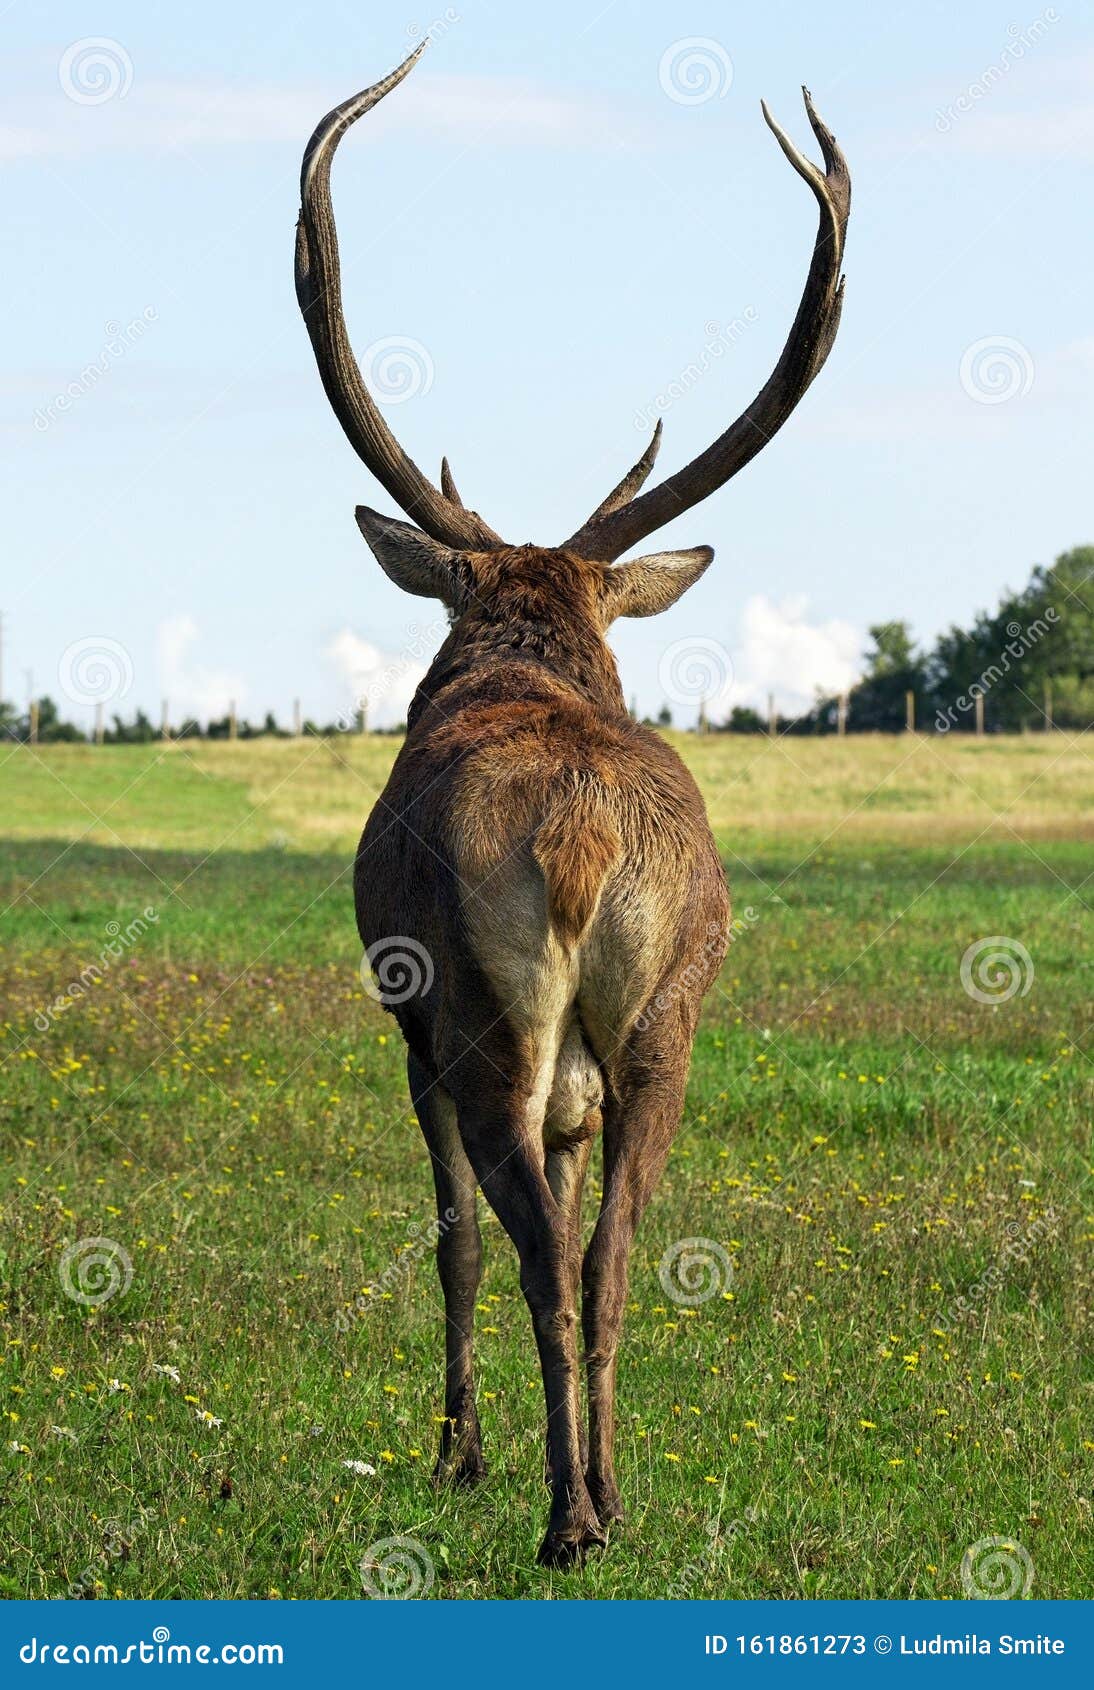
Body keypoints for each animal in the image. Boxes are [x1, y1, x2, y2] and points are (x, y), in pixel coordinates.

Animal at [296, 44, 850, 1567]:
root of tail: (589, 840)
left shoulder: (406, 1031)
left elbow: (450, 1238)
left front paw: (456, 1454)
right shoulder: (591, 1079)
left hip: (479, 1014)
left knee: (532, 1246)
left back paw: (560, 1515)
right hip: (669, 1019)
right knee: (608, 1257)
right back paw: (609, 1496)